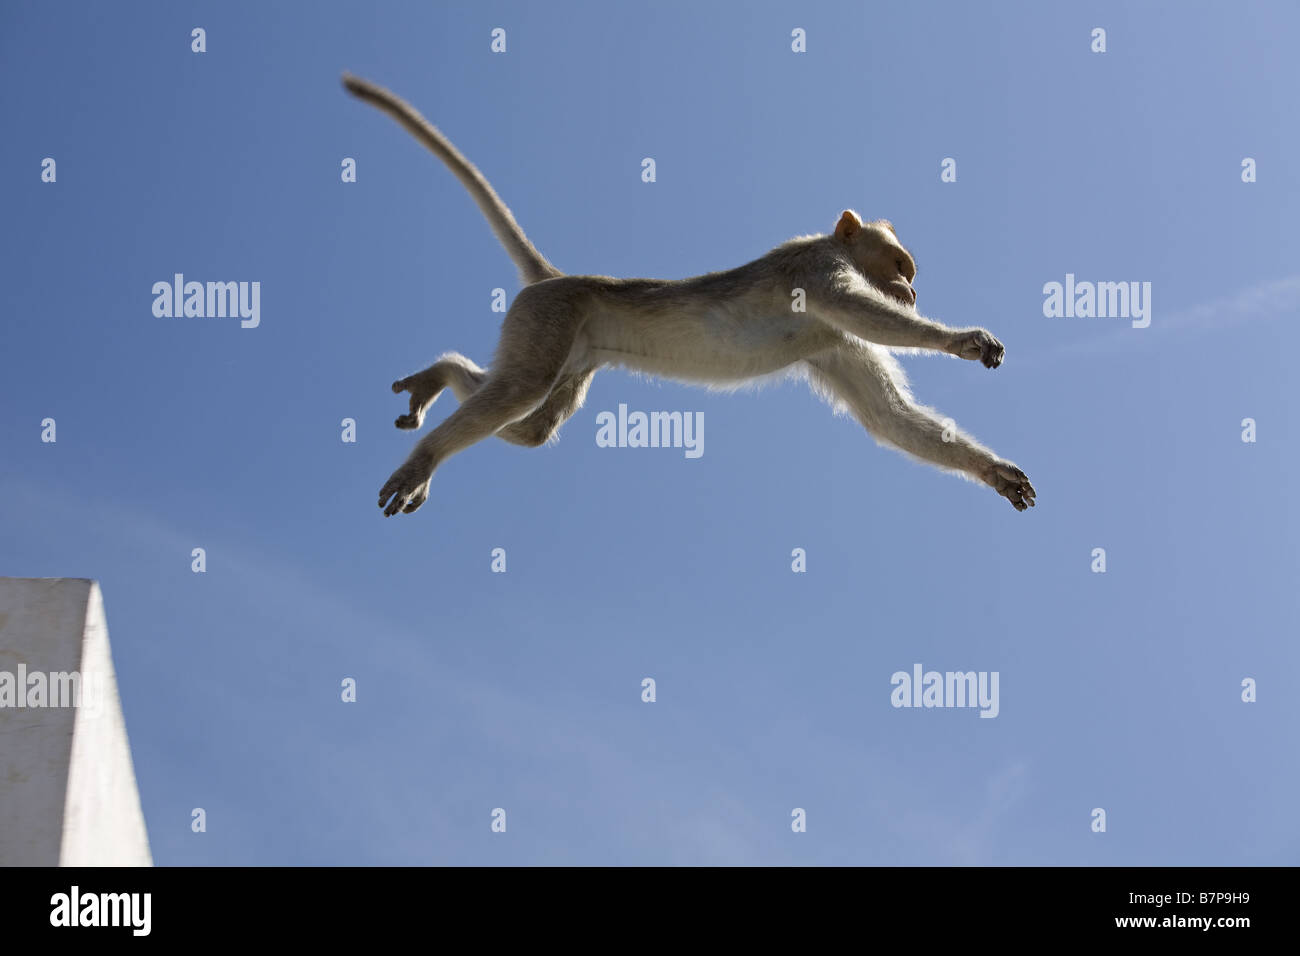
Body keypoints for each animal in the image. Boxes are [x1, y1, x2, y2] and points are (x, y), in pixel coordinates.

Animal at [341, 73, 1035, 517]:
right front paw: (964, 340)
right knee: (521, 390)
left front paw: (993, 471)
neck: (827, 247)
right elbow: (860, 311)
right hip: (547, 319)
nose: (910, 292)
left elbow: (890, 416)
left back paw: (442, 375)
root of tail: (559, 279)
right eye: (899, 265)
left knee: (532, 420)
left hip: (573, 350)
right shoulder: (819, 269)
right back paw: (426, 453)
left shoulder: (833, 343)